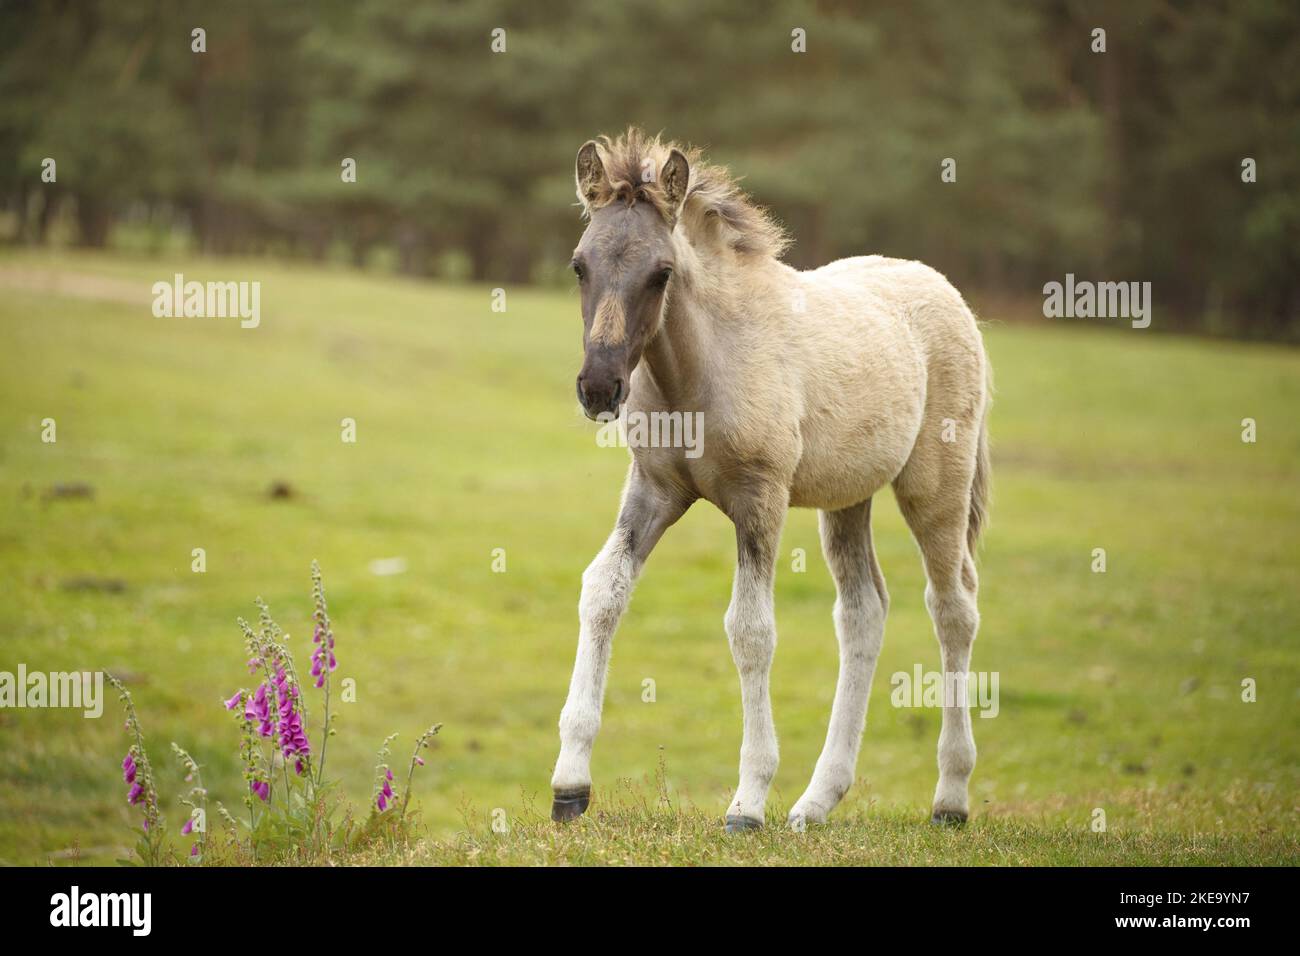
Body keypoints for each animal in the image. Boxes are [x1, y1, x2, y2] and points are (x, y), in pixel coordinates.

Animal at [550, 128, 991, 832]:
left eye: (661, 273)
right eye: (579, 265)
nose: (598, 387)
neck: (700, 370)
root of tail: (945, 290)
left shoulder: (761, 498)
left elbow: (751, 630)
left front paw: (747, 804)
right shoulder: (654, 489)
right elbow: (604, 590)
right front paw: (570, 785)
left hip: (935, 488)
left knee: (953, 608)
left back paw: (949, 797)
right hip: (848, 497)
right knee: (864, 611)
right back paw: (816, 802)